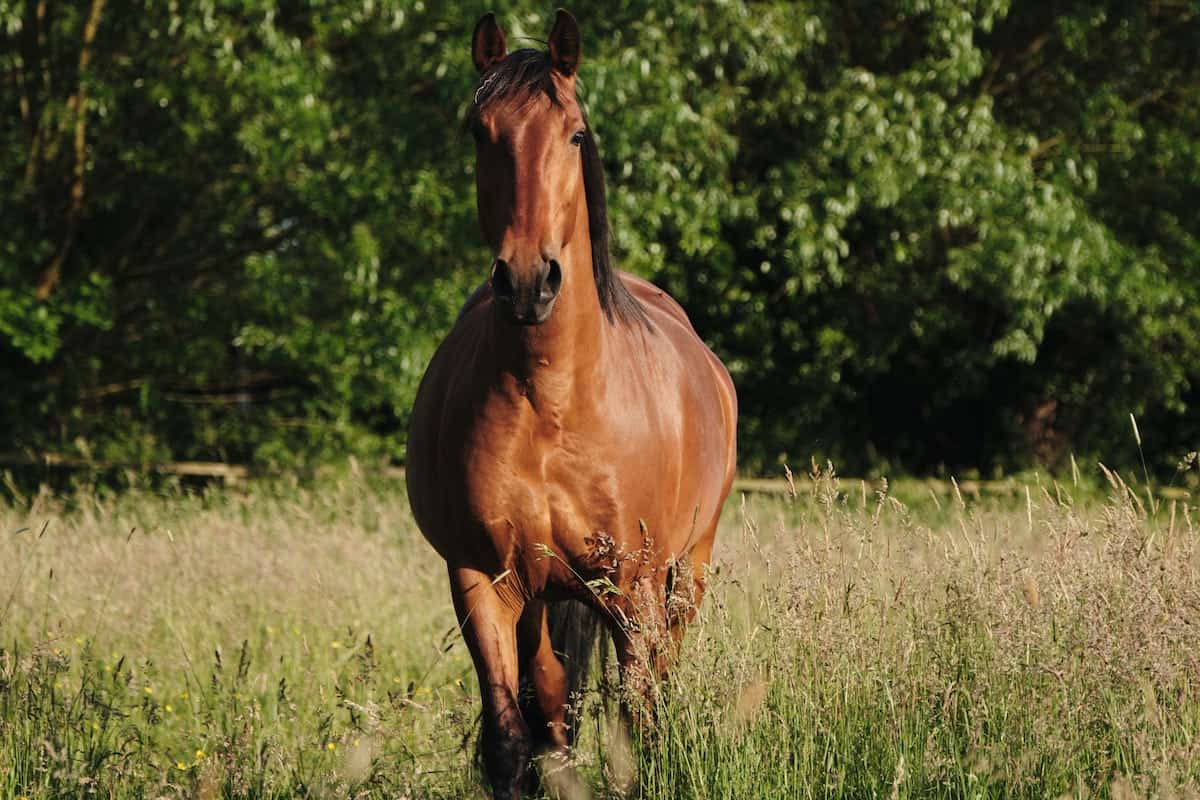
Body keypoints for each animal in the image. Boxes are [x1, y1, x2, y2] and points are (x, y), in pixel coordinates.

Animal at [405, 10, 737, 799]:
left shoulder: (633, 592)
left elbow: (634, 729)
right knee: (553, 702)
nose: (529, 281)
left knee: (652, 689)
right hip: (544, 597)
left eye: (576, 134)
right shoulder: (484, 583)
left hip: (686, 575)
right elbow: (513, 738)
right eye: (479, 131)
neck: (550, 398)